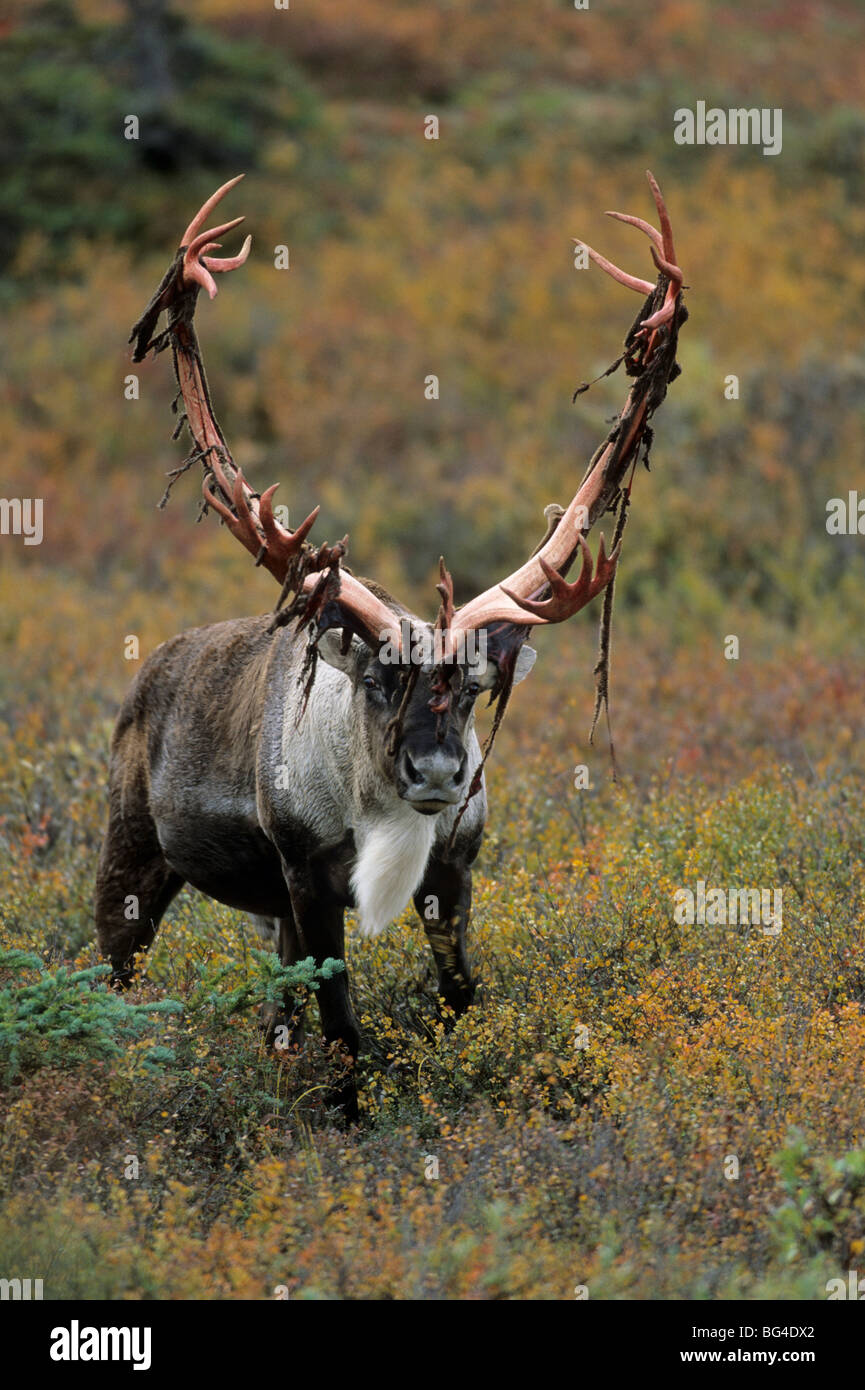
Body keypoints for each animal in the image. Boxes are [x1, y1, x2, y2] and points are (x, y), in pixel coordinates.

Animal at [96, 172, 685, 1121]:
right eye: (379, 681)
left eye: (474, 688)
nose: (438, 771)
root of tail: (154, 667)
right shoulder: (306, 877)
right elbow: (342, 1023)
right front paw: (347, 1117)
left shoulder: (453, 869)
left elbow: (459, 999)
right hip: (133, 848)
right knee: (111, 967)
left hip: (262, 907)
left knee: (274, 1010)